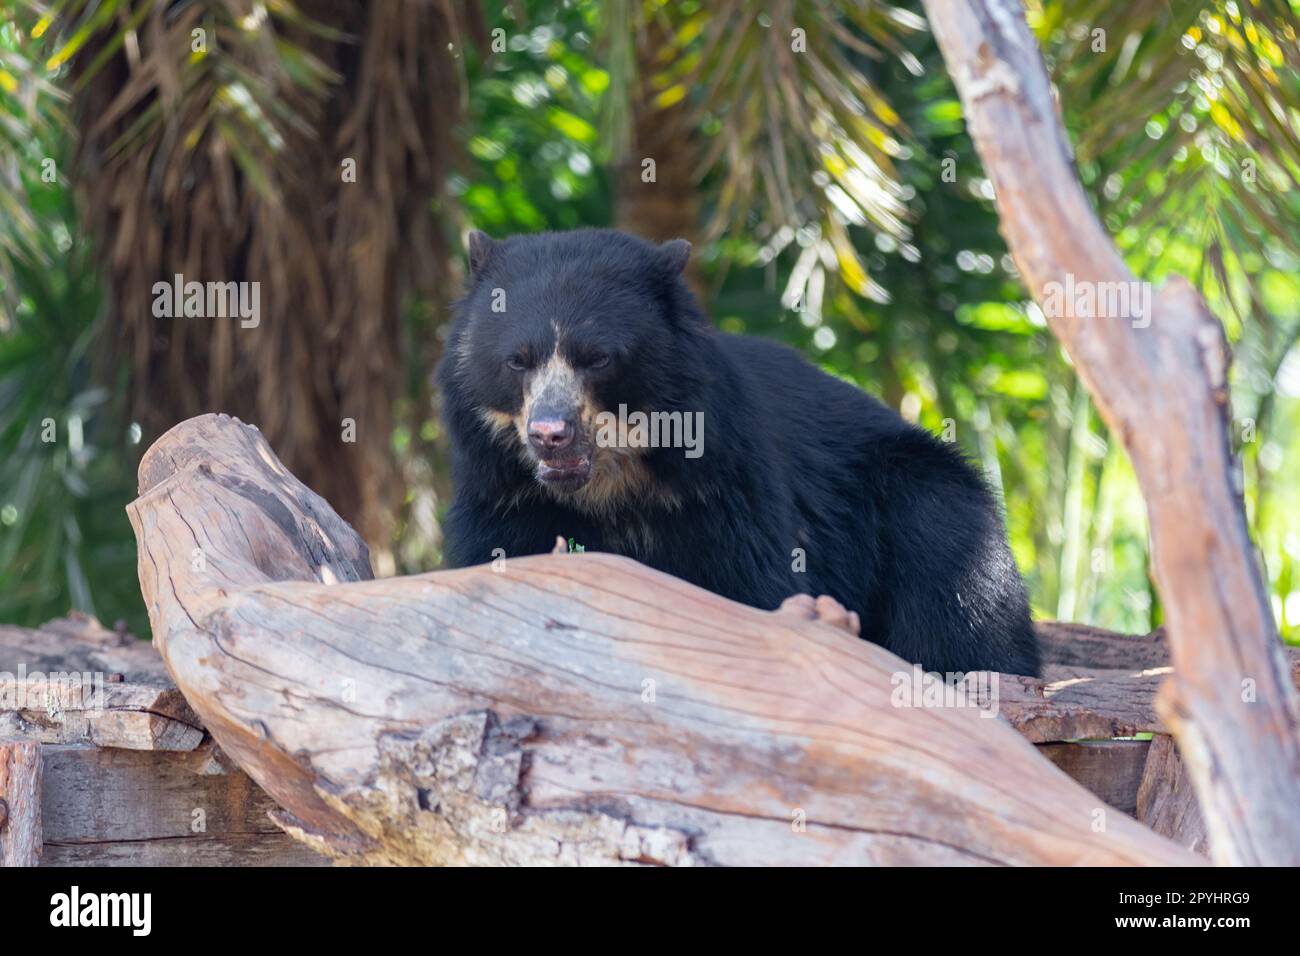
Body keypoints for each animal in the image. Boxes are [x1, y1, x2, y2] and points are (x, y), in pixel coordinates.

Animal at [437, 228, 1040, 677]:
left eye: (598, 359)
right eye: (517, 360)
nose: (550, 433)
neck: (614, 480)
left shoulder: (727, 484)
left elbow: (753, 586)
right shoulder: (505, 493)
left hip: (925, 492)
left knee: (956, 578)